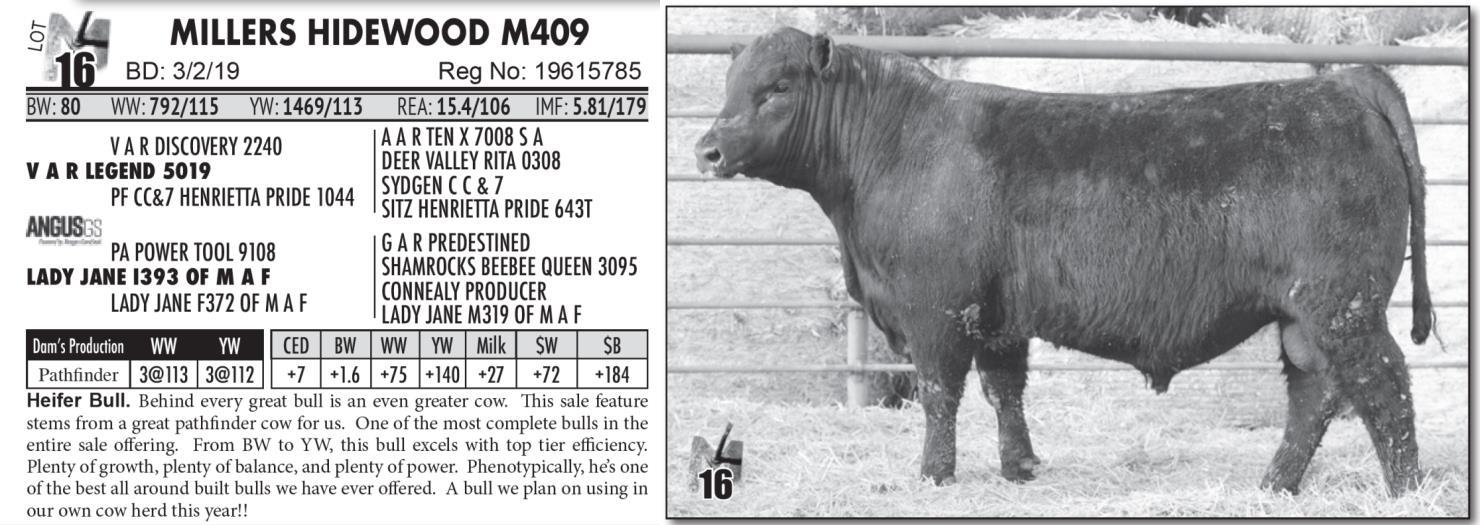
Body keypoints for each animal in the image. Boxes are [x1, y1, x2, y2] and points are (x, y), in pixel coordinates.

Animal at [694, 27, 1434, 496]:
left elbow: (938, 393)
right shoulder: (997, 315)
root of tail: (1344, 84)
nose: (707, 149)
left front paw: (933, 474)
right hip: (1305, 315)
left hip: (1343, 304)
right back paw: (1273, 485)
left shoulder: (936, 309)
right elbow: (1004, 389)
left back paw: (1405, 490)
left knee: (1384, 384)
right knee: (1317, 391)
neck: (894, 143)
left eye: (777, 86)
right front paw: (1020, 467)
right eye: (729, 82)